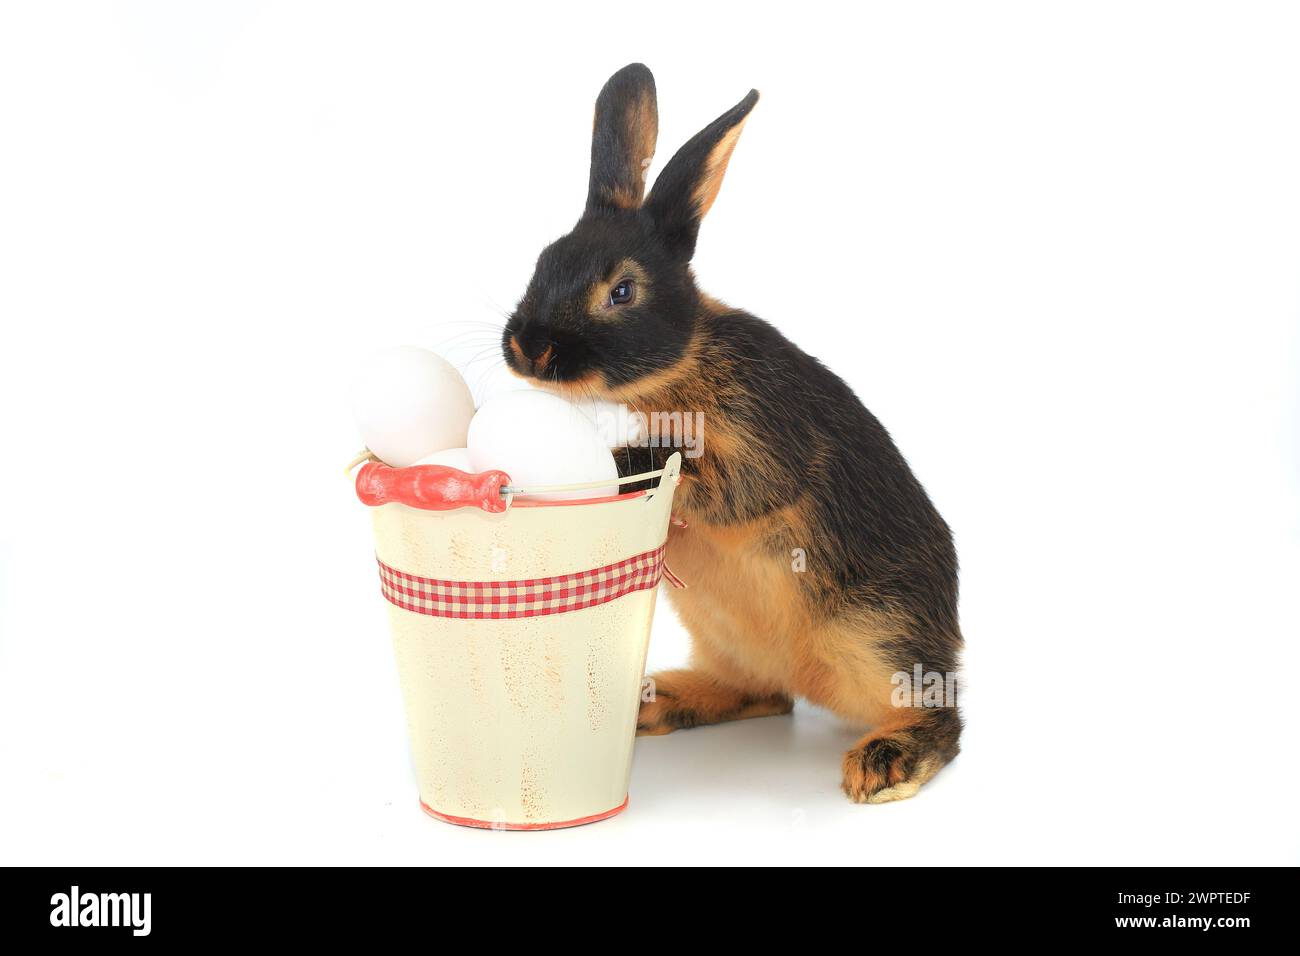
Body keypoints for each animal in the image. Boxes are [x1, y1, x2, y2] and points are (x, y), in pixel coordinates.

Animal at [501, 64, 961, 803]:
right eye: (542, 261)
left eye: (622, 291)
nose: (529, 349)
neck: (684, 361)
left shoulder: (764, 444)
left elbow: (722, 483)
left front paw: (627, 461)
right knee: (763, 695)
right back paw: (658, 703)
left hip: (878, 630)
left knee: (941, 715)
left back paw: (884, 762)